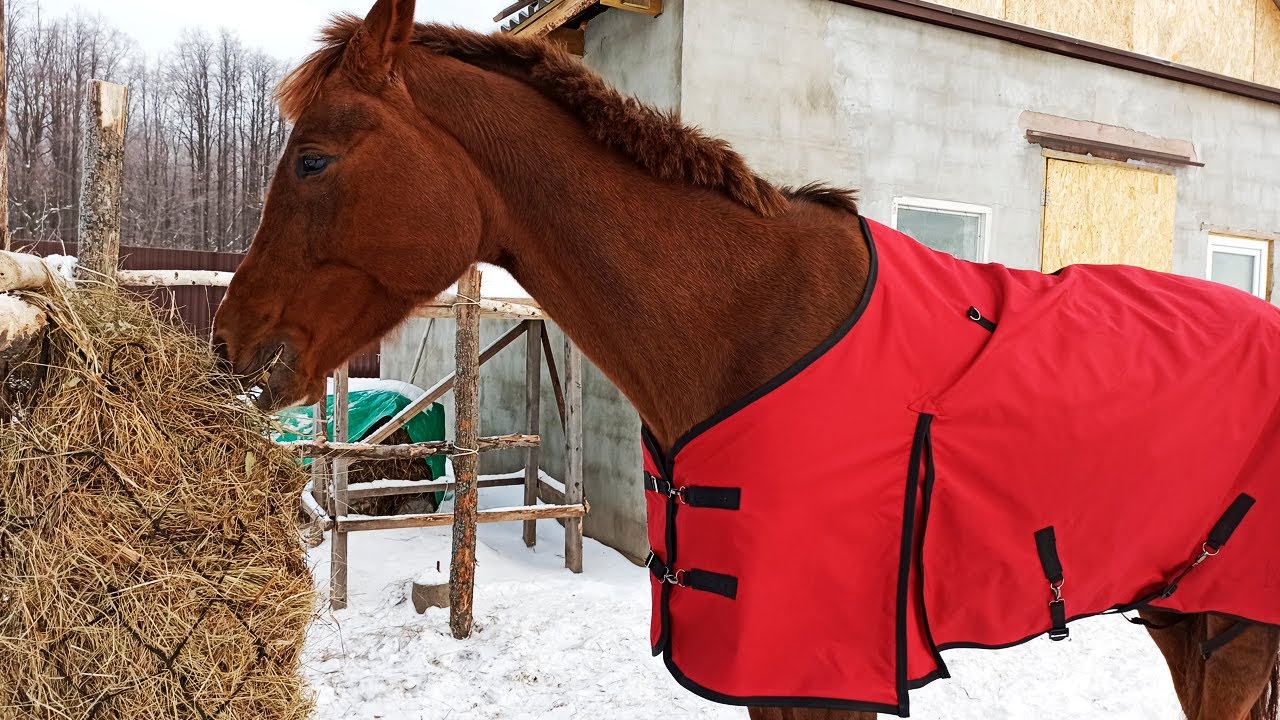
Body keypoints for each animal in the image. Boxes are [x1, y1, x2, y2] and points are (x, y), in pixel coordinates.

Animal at [212, 2, 1280, 712]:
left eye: (314, 158)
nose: (231, 344)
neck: (745, 321)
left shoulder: (812, 667)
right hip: (1187, 618)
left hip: (1235, 632)